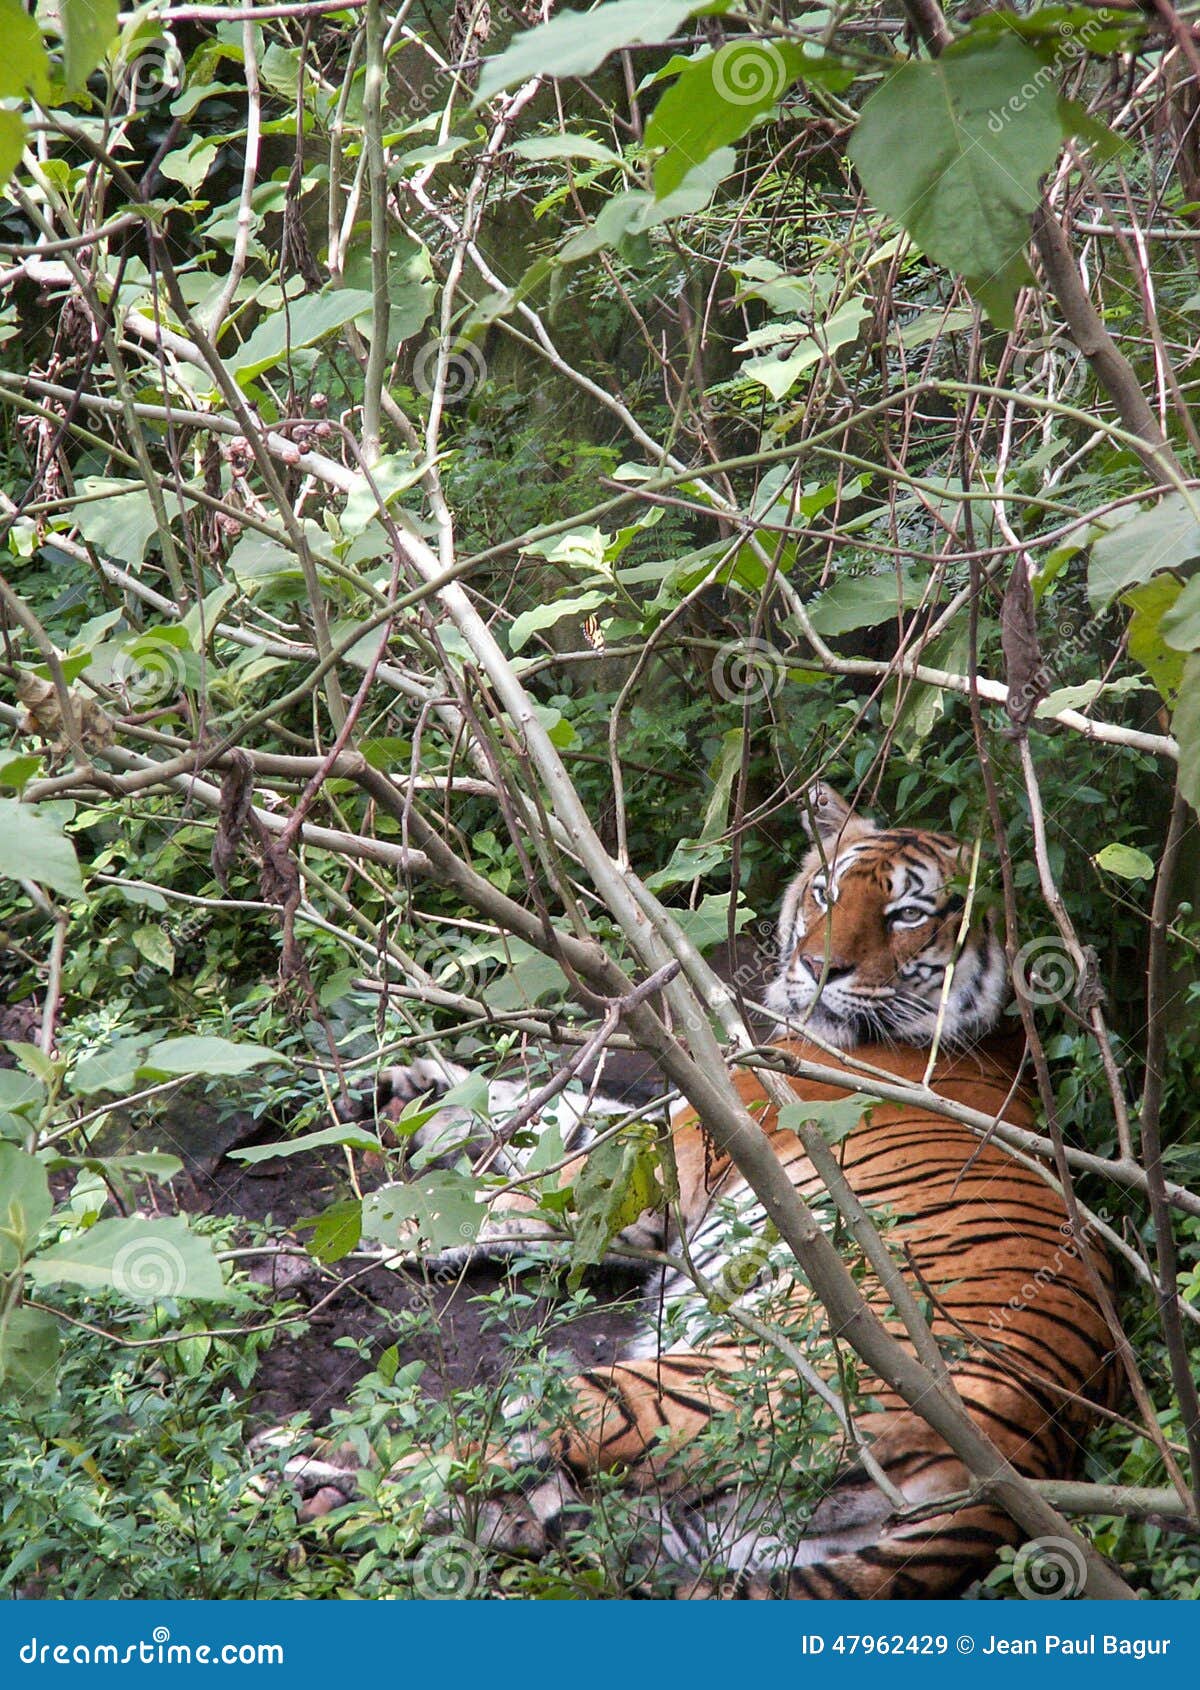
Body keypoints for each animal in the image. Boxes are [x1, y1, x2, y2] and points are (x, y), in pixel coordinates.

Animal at [300, 783, 1118, 1599]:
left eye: (907, 916)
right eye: (826, 892)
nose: (819, 968)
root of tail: (1009, 1480)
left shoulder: (681, 1153)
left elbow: (552, 1167)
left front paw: (396, 1223)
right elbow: (559, 1111)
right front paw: (415, 1095)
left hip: (669, 1390)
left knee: (459, 1472)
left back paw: (313, 1475)